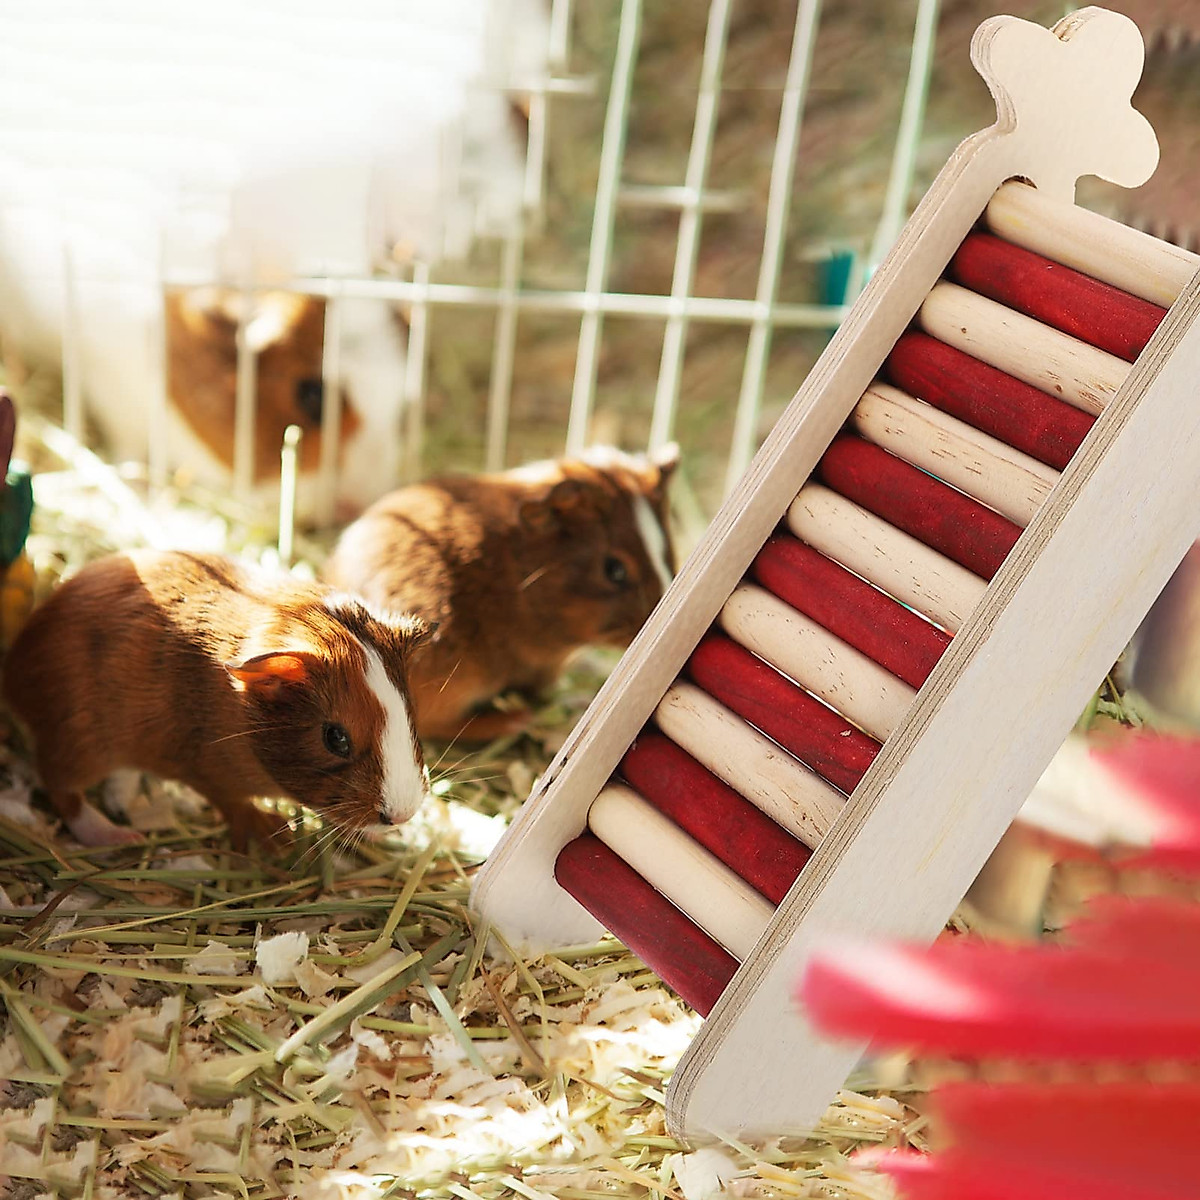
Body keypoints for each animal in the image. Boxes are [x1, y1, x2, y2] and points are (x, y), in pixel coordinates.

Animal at [1, 550, 431, 848]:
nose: (402, 815)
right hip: (80, 745)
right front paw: (274, 837)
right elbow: (231, 802)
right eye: (335, 738)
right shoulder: (205, 770)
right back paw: (118, 837)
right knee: (62, 790)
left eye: (409, 712)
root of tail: (16, 666)